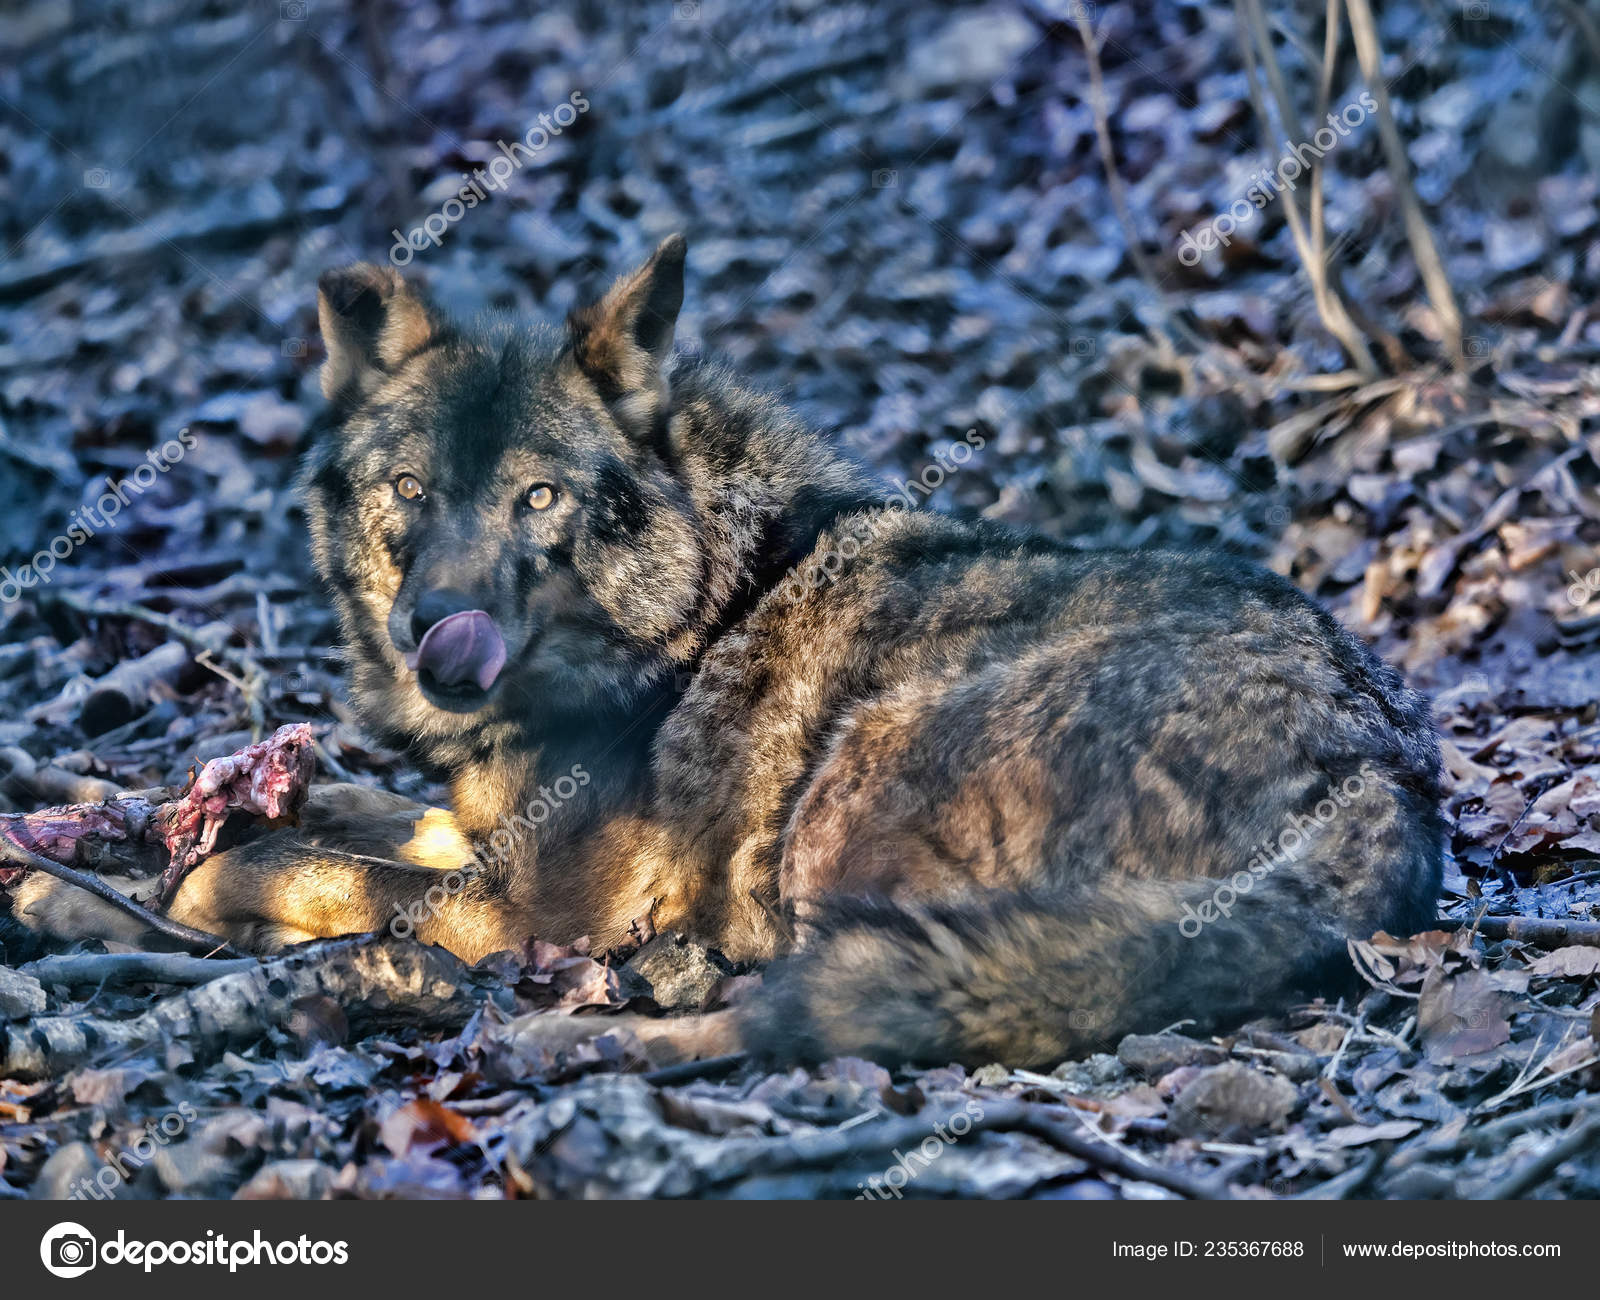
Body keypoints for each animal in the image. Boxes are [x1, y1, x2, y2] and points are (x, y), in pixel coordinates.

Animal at [10, 235, 1444, 1066]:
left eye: (538, 499)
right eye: (411, 490)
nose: (436, 636)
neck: (681, 617)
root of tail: (1379, 766)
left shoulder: (516, 898)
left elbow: (286, 870)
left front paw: (120, 888)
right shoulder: (476, 821)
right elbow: (336, 815)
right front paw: (112, 822)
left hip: (849, 781)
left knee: (815, 1003)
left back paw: (589, 1030)